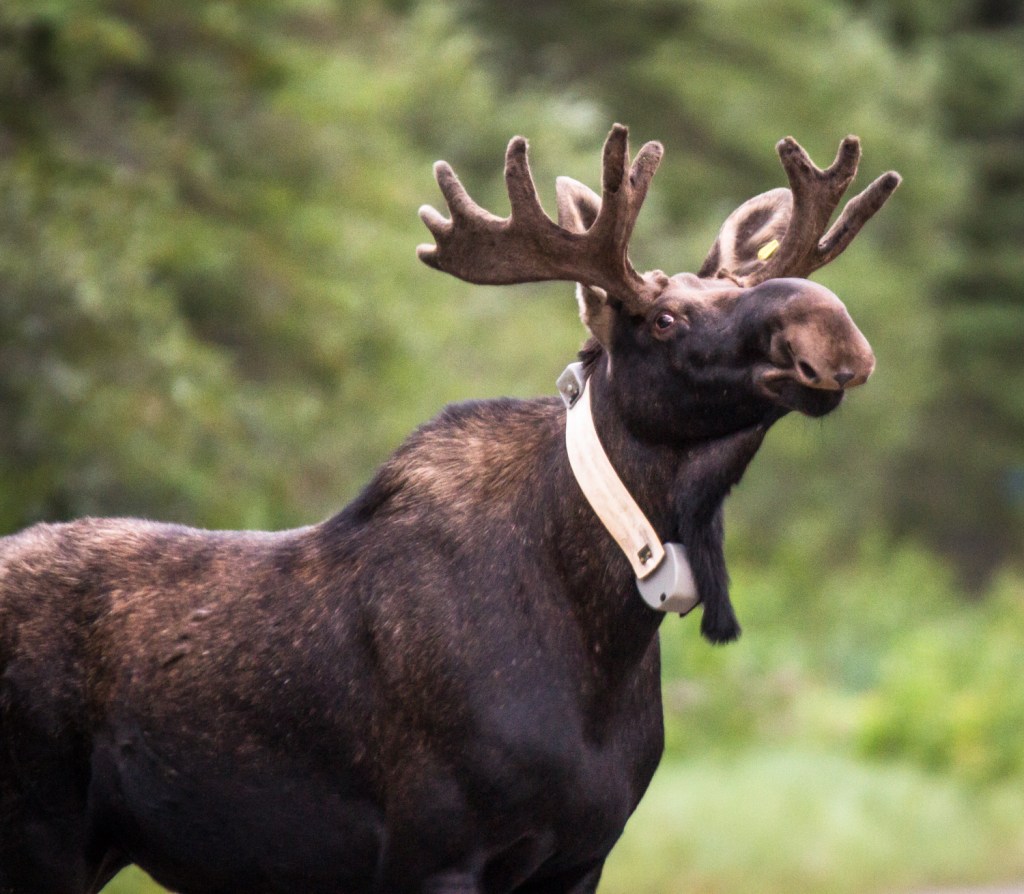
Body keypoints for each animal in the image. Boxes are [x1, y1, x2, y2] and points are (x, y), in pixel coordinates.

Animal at [0, 125, 898, 894]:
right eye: (667, 318)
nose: (830, 328)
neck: (605, 637)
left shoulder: (580, 858)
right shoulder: (438, 851)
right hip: (42, 836)